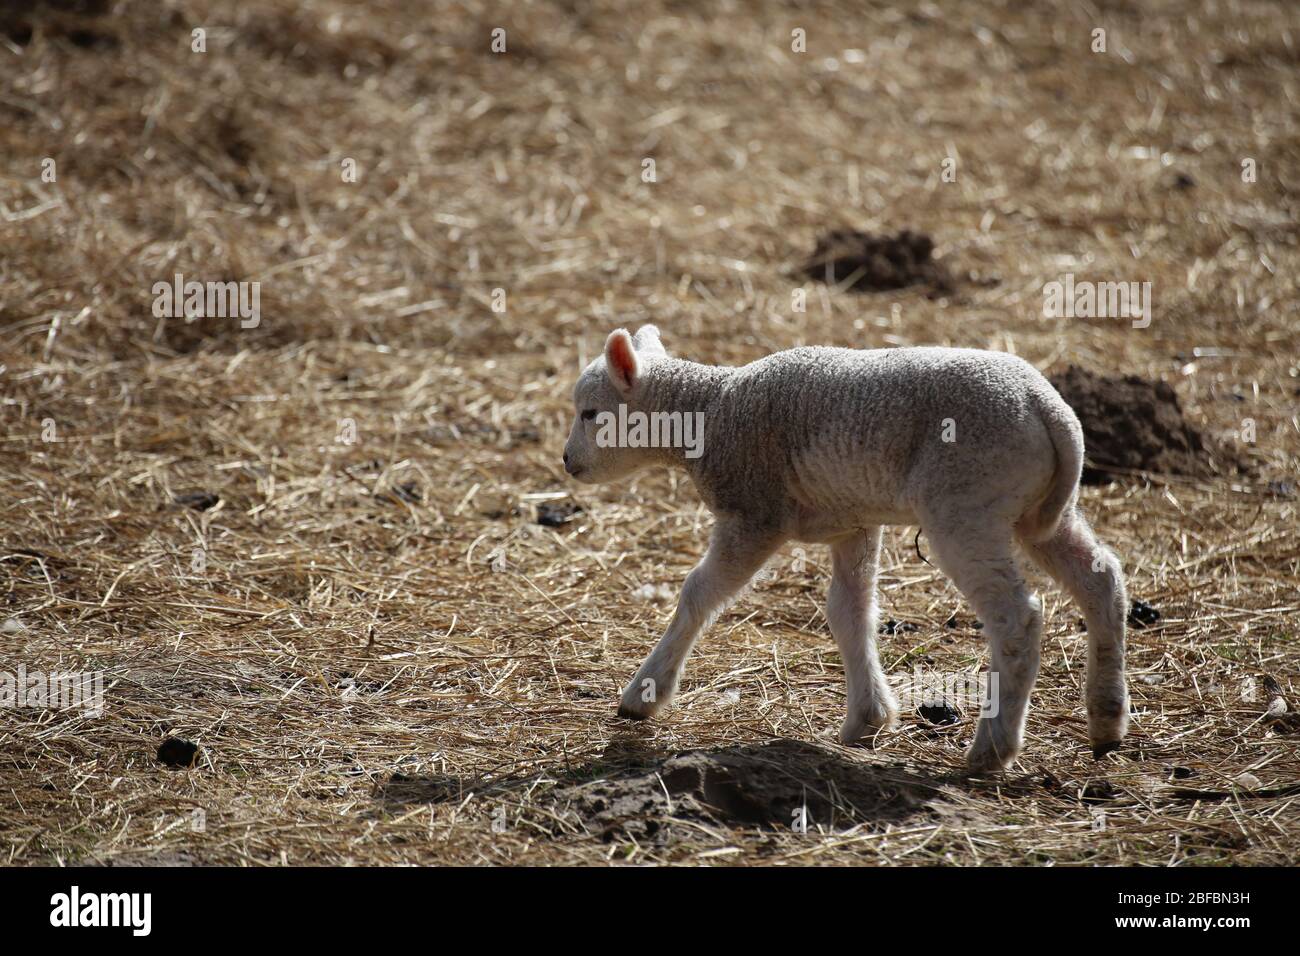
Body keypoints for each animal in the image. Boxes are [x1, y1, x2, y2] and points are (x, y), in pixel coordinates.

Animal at [562, 325, 1129, 772]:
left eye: (590, 413)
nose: (568, 462)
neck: (711, 408)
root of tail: (1049, 409)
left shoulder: (755, 513)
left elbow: (698, 594)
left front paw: (644, 694)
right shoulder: (852, 522)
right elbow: (850, 613)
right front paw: (867, 719)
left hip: (965, 502)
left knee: (1017, 618)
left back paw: (992, 748)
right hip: (1038, 511)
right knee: (1101, 578)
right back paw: (1106, 719)